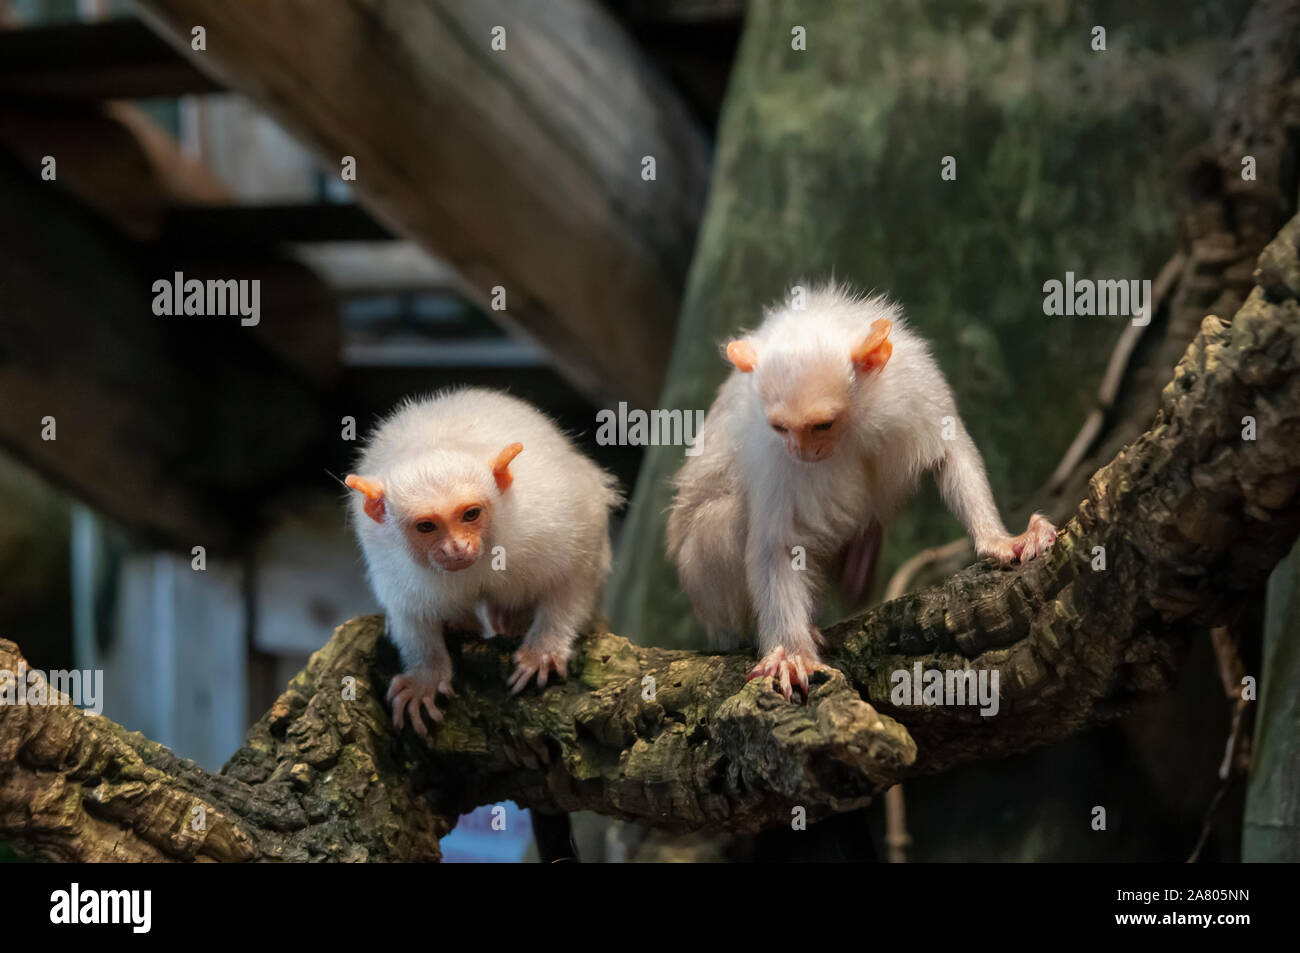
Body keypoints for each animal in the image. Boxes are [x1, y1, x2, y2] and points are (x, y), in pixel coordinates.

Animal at [345, 388, 621, 736]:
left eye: (471, 514)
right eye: (426, 526)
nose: (456, 548)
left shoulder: (547, 513)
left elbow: (575, 570)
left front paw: (544, 649)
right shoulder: (388, 557)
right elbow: (410, 615)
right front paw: (426, 676)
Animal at [667, 284, 1057, 702]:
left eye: (821, 425)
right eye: (782, 428)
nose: (801, 452)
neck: (851, 428)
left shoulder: (913, 387)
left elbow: (950, 456)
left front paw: (1003, 540)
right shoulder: (774, 458)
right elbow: (776, 548)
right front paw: (793, 655)